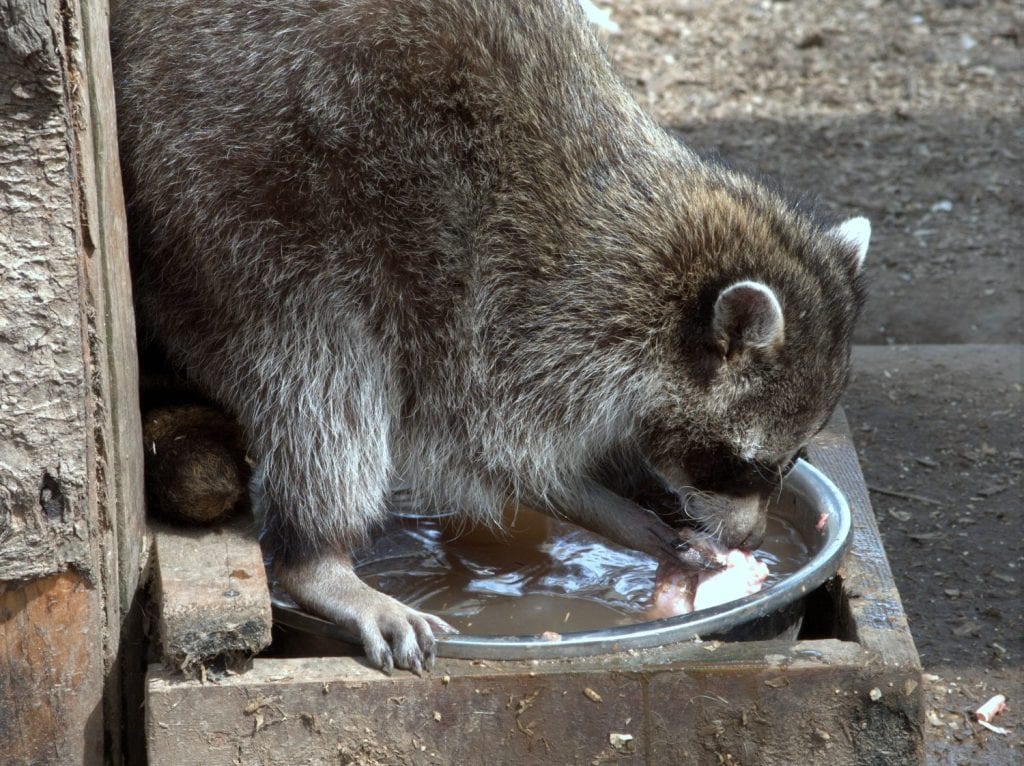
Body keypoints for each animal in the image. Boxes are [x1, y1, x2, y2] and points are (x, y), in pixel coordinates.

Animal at [111, 0, 868, 673]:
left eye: (791, 462)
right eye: (748, 466)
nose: (755, 538)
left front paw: (641, 484)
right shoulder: (523, 305)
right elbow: (490, 448)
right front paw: (613, 510)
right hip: (234, 202)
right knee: (319, 369)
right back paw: (318, 557)